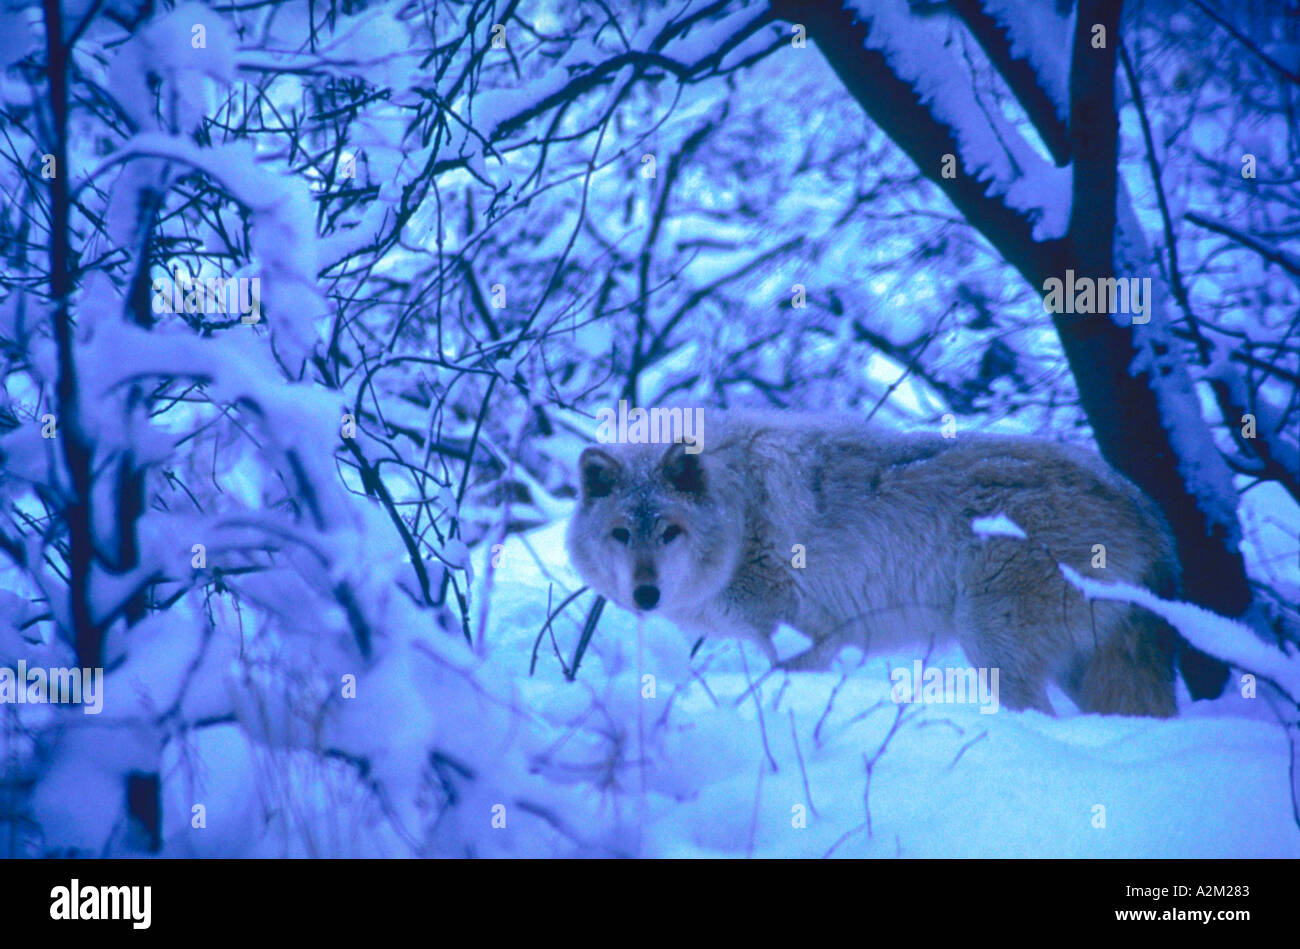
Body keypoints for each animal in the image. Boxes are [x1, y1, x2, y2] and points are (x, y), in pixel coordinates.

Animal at [565, 409, 1188, 717]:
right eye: (622, 534)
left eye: (671, 532)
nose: (646, 595)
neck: (741, 513)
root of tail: (1145, 508)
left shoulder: (809, 639)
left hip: (988, 642)